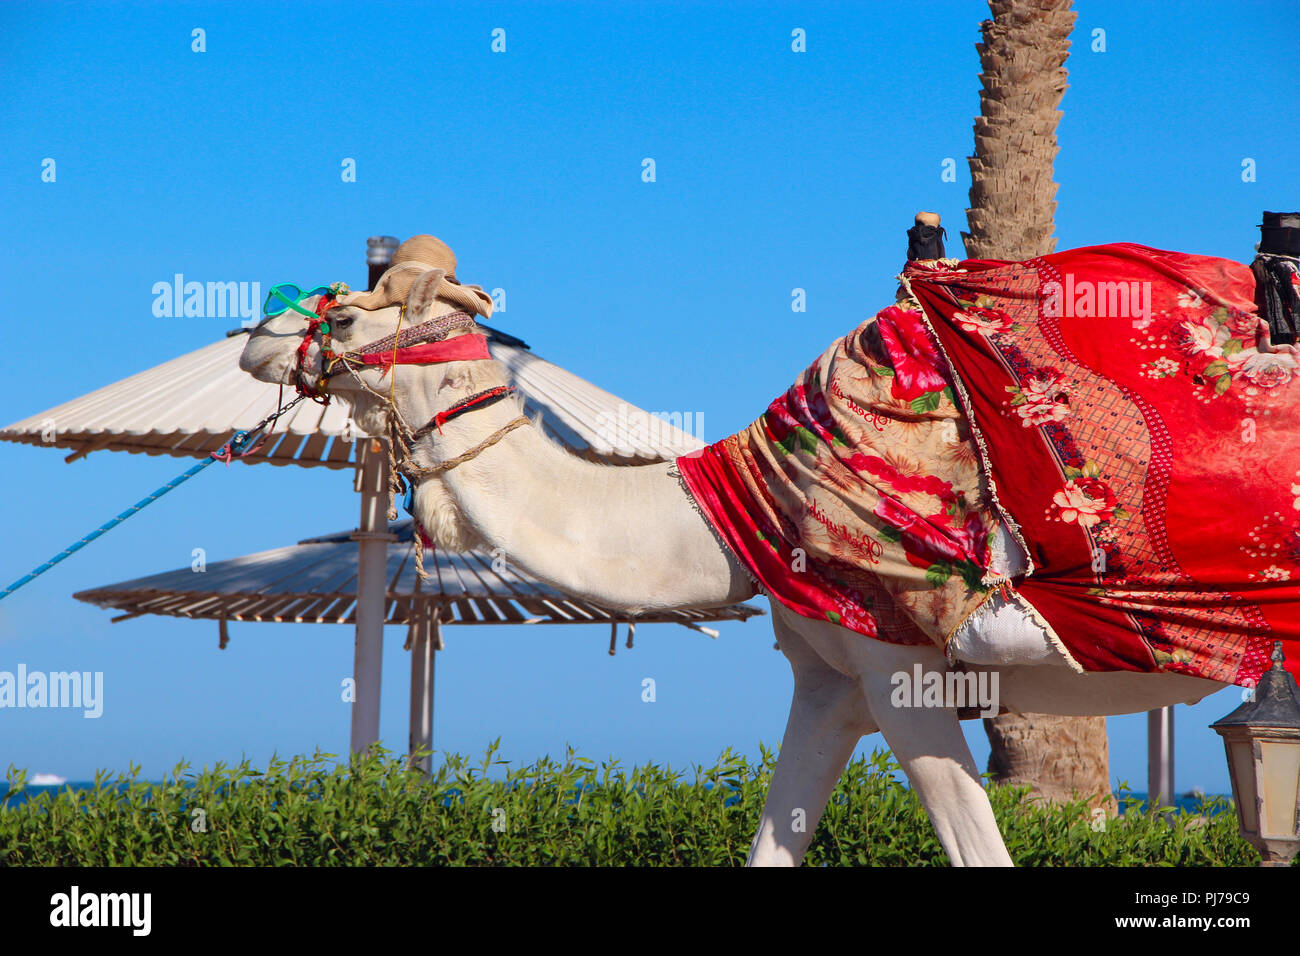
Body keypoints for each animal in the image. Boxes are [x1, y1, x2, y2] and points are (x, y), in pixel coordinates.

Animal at [240, 246, 1230, 867]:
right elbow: (772, 840)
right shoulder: (834, 681)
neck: (744, 510)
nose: (257, 332)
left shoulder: (901, 669)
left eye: (349, 309)